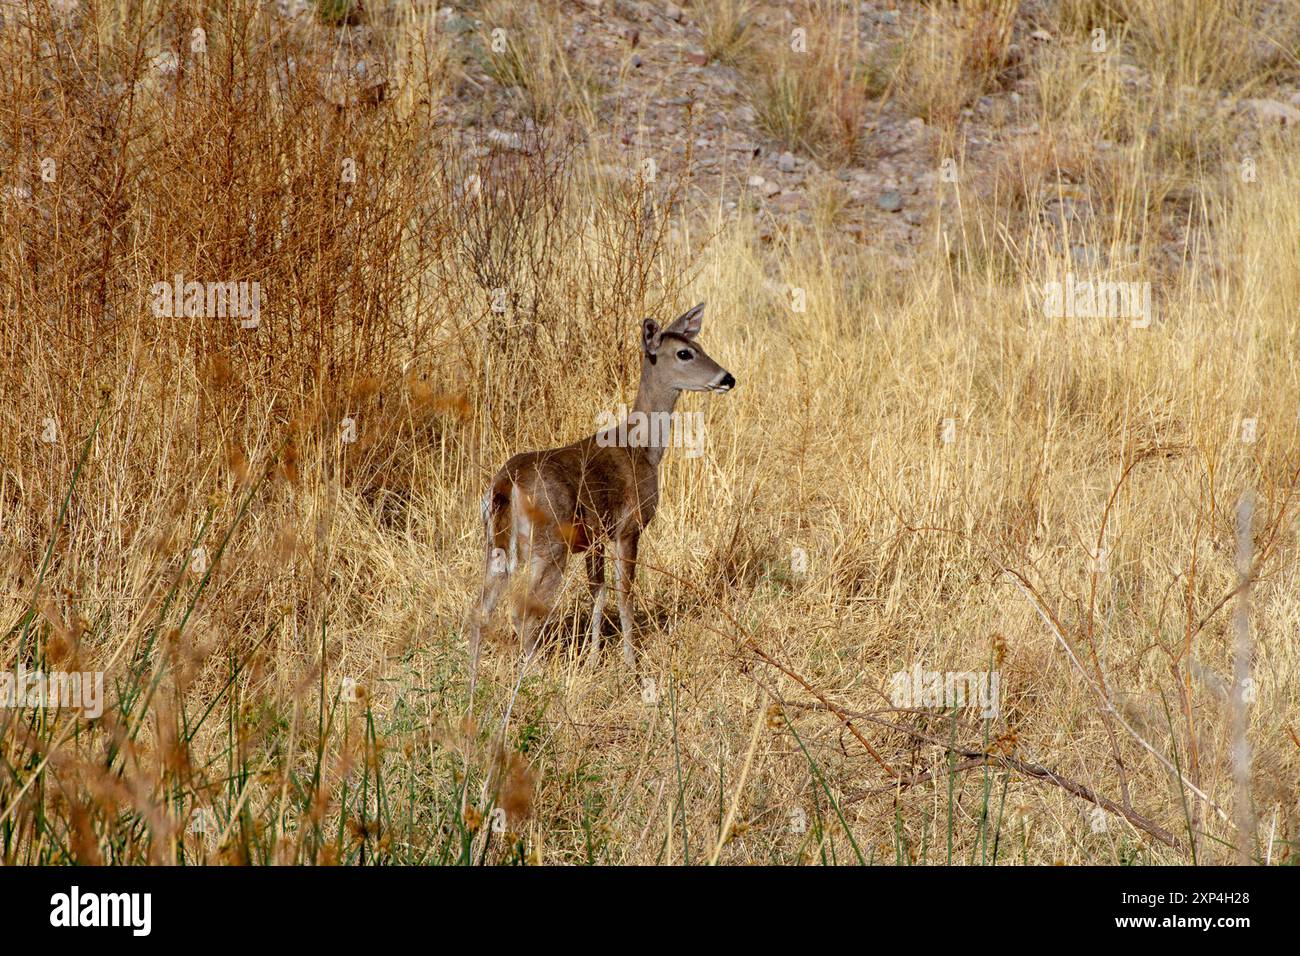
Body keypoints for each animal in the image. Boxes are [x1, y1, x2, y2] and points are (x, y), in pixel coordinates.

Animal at [466, 303, 736, 696]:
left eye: (697, 346)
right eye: (685, 353)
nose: (727, 378)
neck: (643, 448)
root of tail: (507, 481)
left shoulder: (595, 539)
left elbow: (599, 593)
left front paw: (594, 660)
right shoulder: (629, 527)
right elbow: (624, 594)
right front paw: (632, 666)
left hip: (495, 543)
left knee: (481, 608)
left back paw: (471, 681)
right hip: (550, 543)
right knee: (523, 610)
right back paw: (534, 675)